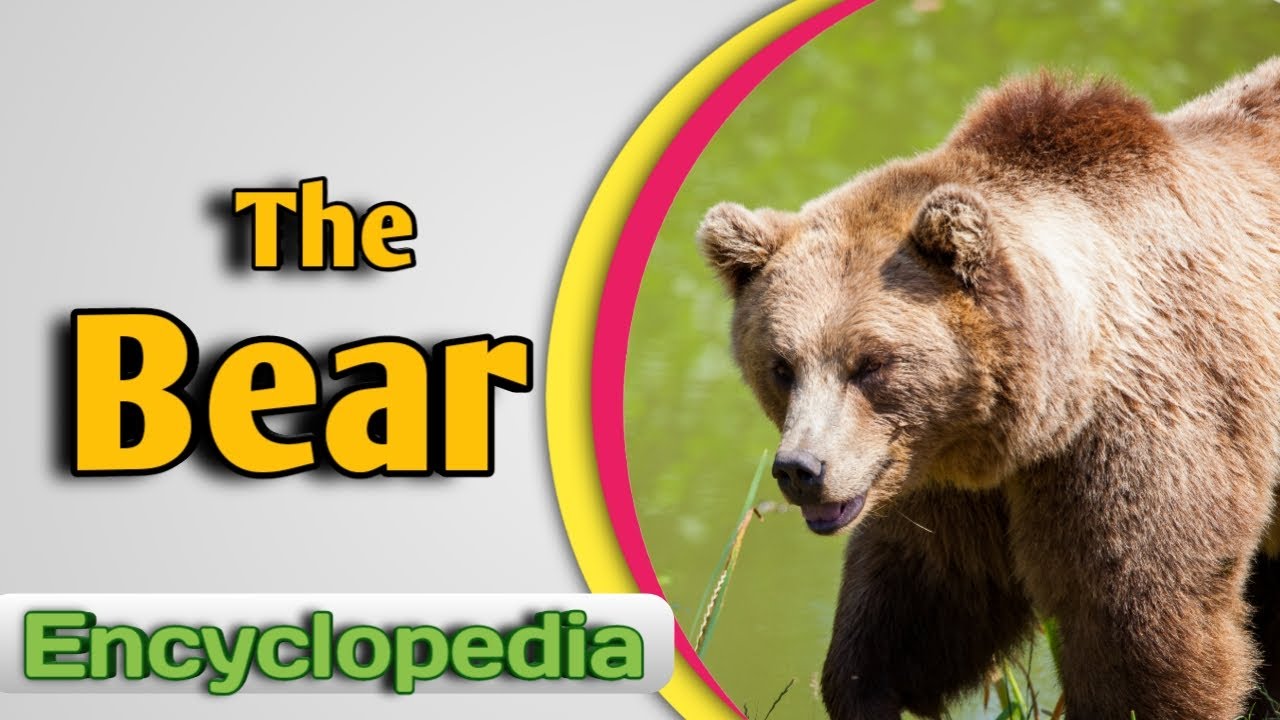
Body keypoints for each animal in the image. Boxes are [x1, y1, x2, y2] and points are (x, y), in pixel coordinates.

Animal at [697, 58, 1280, 720]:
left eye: (870, 364)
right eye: (781, 365)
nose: (801, 468)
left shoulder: (1144, 434)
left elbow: (1140, 630)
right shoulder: (941, 477)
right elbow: (927, 595)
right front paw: (862, 687)